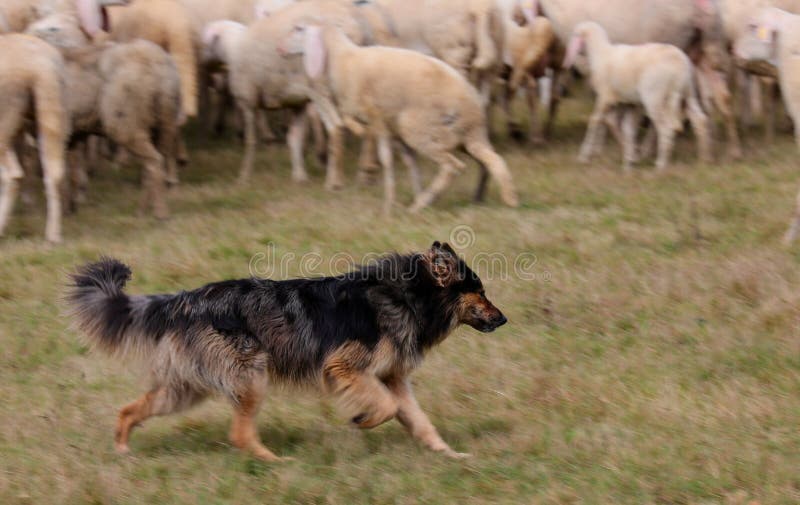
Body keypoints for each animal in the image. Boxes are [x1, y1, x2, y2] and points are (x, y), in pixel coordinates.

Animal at [0, 33, 68, 243]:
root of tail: (39, 65)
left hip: (4, 123)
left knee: (12, 175)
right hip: (51, 112)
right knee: (54, 174)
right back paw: (53, 236)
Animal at [279, 24, 519, 213]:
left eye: (299, 29)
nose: (280, 49)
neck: (342, 58)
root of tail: (472, 104)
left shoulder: (375, 117)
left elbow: (374, 147)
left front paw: (389, 201)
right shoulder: (391, 130)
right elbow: (407, 162)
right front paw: (406, 193)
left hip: (421, 129)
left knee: (452, 167)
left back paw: (421, 204)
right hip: (467, 138)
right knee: (493, 161)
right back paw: (500, 198)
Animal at [563, 21, 711, 172]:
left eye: (575, 35)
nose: (568, 61)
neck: (601, 53)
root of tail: (679, 65)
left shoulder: (605, 97)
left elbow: (596, 121)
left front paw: (583, 156)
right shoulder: (629, 103)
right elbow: (625, 128)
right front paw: (629, 160)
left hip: (654, 97)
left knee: (666, 128)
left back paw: (660, 166)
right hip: (688, 93)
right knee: (700, 120)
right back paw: (703, 160)